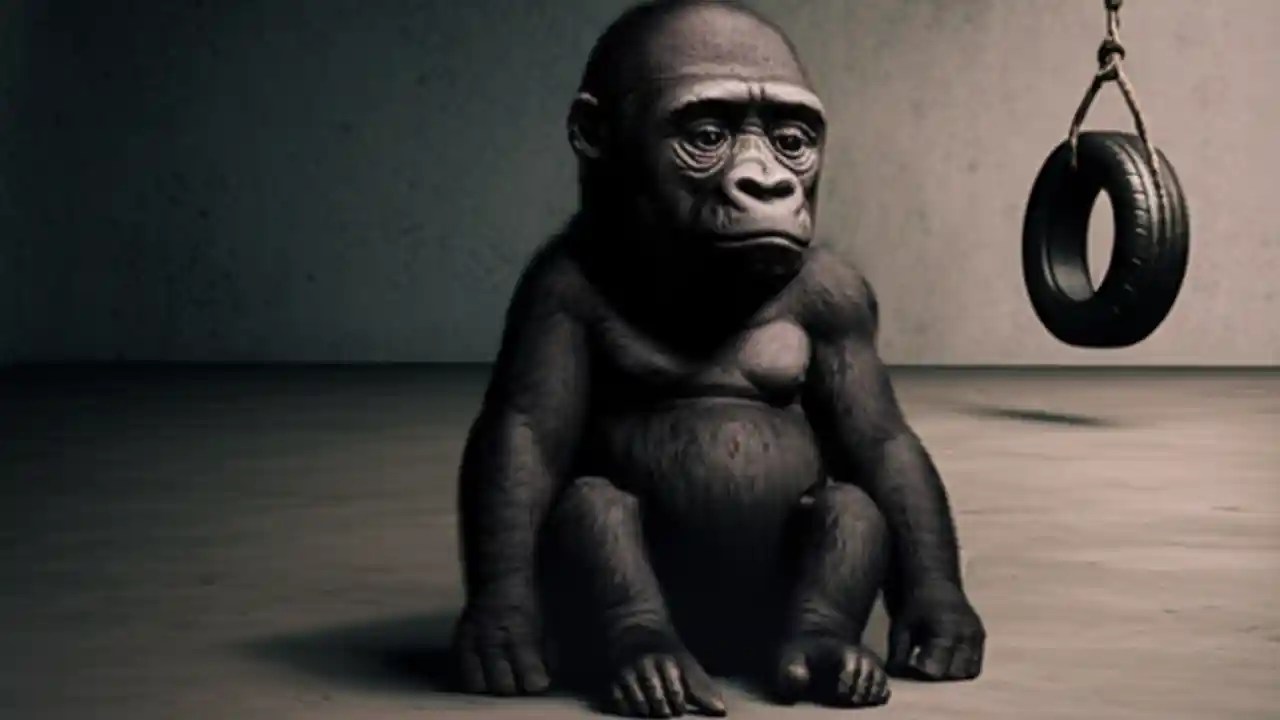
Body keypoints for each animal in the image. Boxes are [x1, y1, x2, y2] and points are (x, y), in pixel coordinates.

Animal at [450, 1, 985, 716]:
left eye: (792, 140)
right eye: (708, 135)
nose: (769, 185)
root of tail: (725, 648)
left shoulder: (843, 297)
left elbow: (882, 444)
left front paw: (939, 614)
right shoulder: (549, 291)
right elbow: (525, 436)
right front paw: (502, 624)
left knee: (853, 504)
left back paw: (822, 649)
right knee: (592, 506)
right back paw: (652, 658)